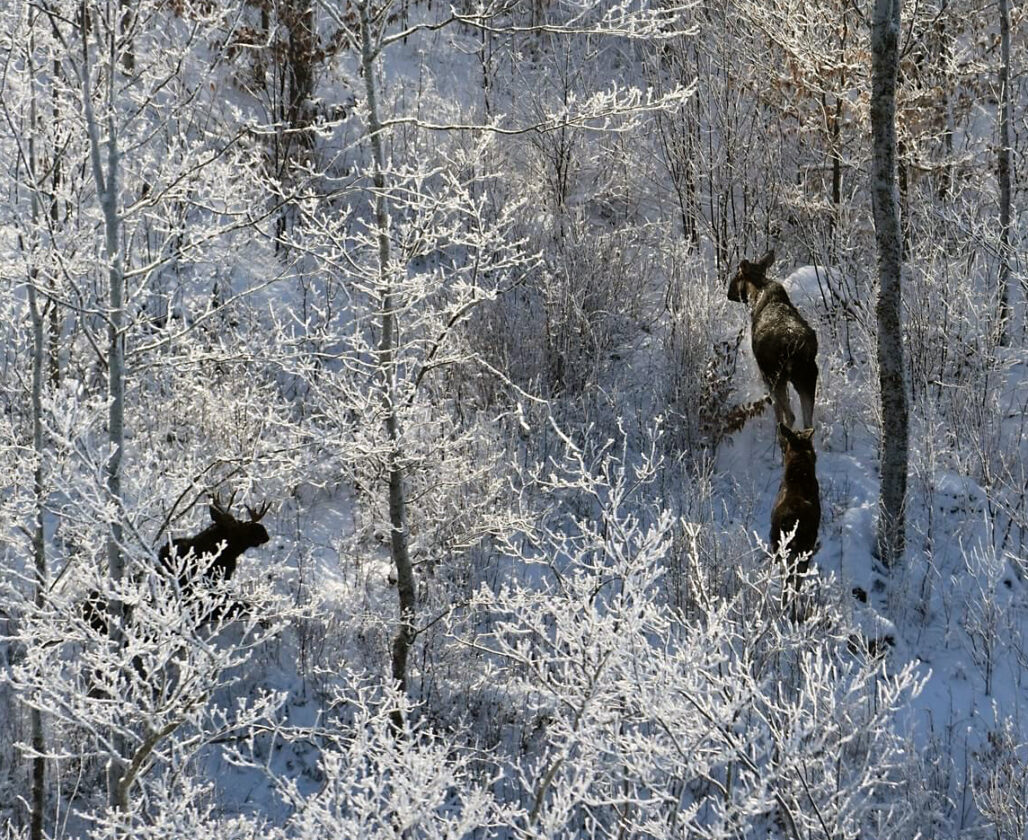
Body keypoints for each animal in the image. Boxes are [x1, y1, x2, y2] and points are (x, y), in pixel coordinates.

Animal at [727, 250, 818, 430]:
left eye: (738, 275)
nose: (728, 293)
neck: (756, 293)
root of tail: (796, 349)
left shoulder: (765, 374)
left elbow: (777, 410)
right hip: (808, 378)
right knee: (808, 423)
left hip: (776, 376)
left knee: (790, 416)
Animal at [769, 423, 821, 618]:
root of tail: (789, 520)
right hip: (804, 547)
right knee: (794, 580)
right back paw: (791, 611)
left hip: (777, 546)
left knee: (785, 577)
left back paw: (782, 610)